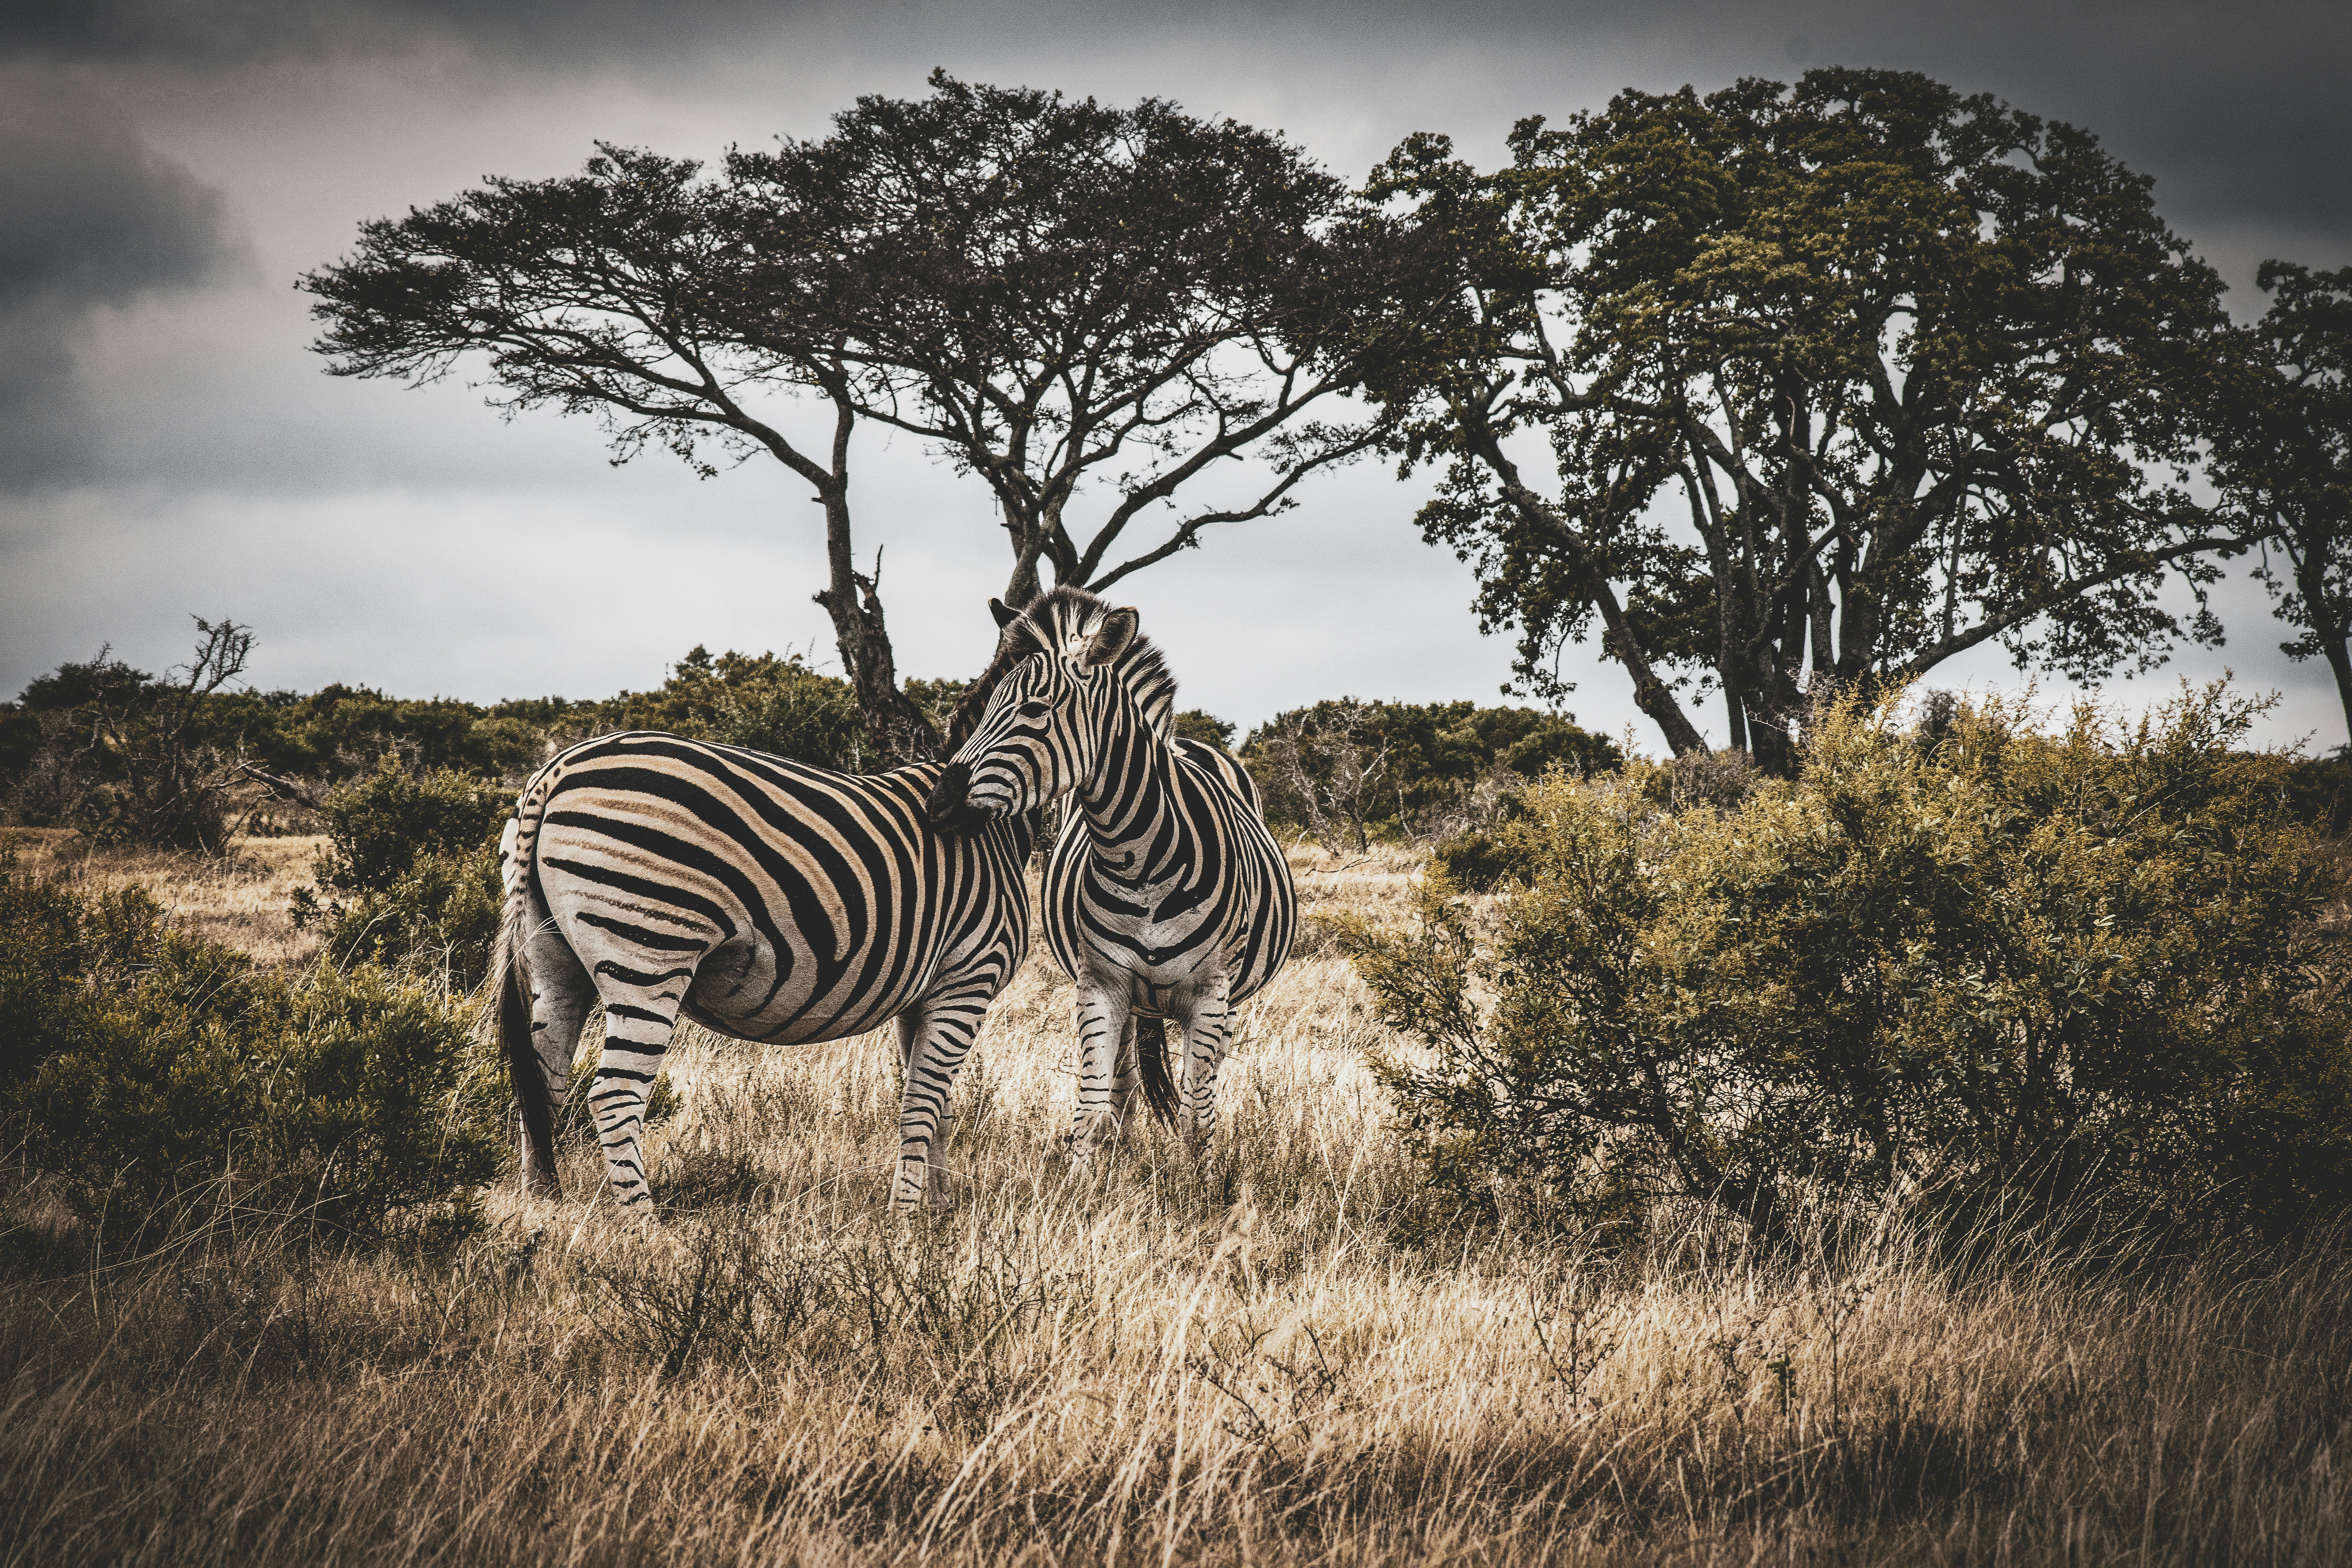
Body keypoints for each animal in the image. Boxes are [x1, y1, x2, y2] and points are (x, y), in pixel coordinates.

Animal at [492, 728, 1035, 1211]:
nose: (946, 811)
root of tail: (554, 772)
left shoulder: (921, 993)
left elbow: (936, 1103)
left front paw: (938, 1205)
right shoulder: (968, 979)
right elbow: (925, 1101)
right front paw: (912, 1217)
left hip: (554, 960)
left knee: (542, 1083)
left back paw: (544, 1203)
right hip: (649, 950)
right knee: (614, 1096)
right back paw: (644, 1223)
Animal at [929, 586, 1297, 1161]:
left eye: (1035, 710)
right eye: (985, 708)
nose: (937, 804)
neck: (1141, 857)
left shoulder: (1210, 997)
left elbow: (1196, 1122)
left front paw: (1203, 1184)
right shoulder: (1101, 984)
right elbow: (1090, 1110)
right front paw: (1086, 1178)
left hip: (1230, 1002)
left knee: (1204, 1086)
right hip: (1132, 1002)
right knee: (1123, 1086)